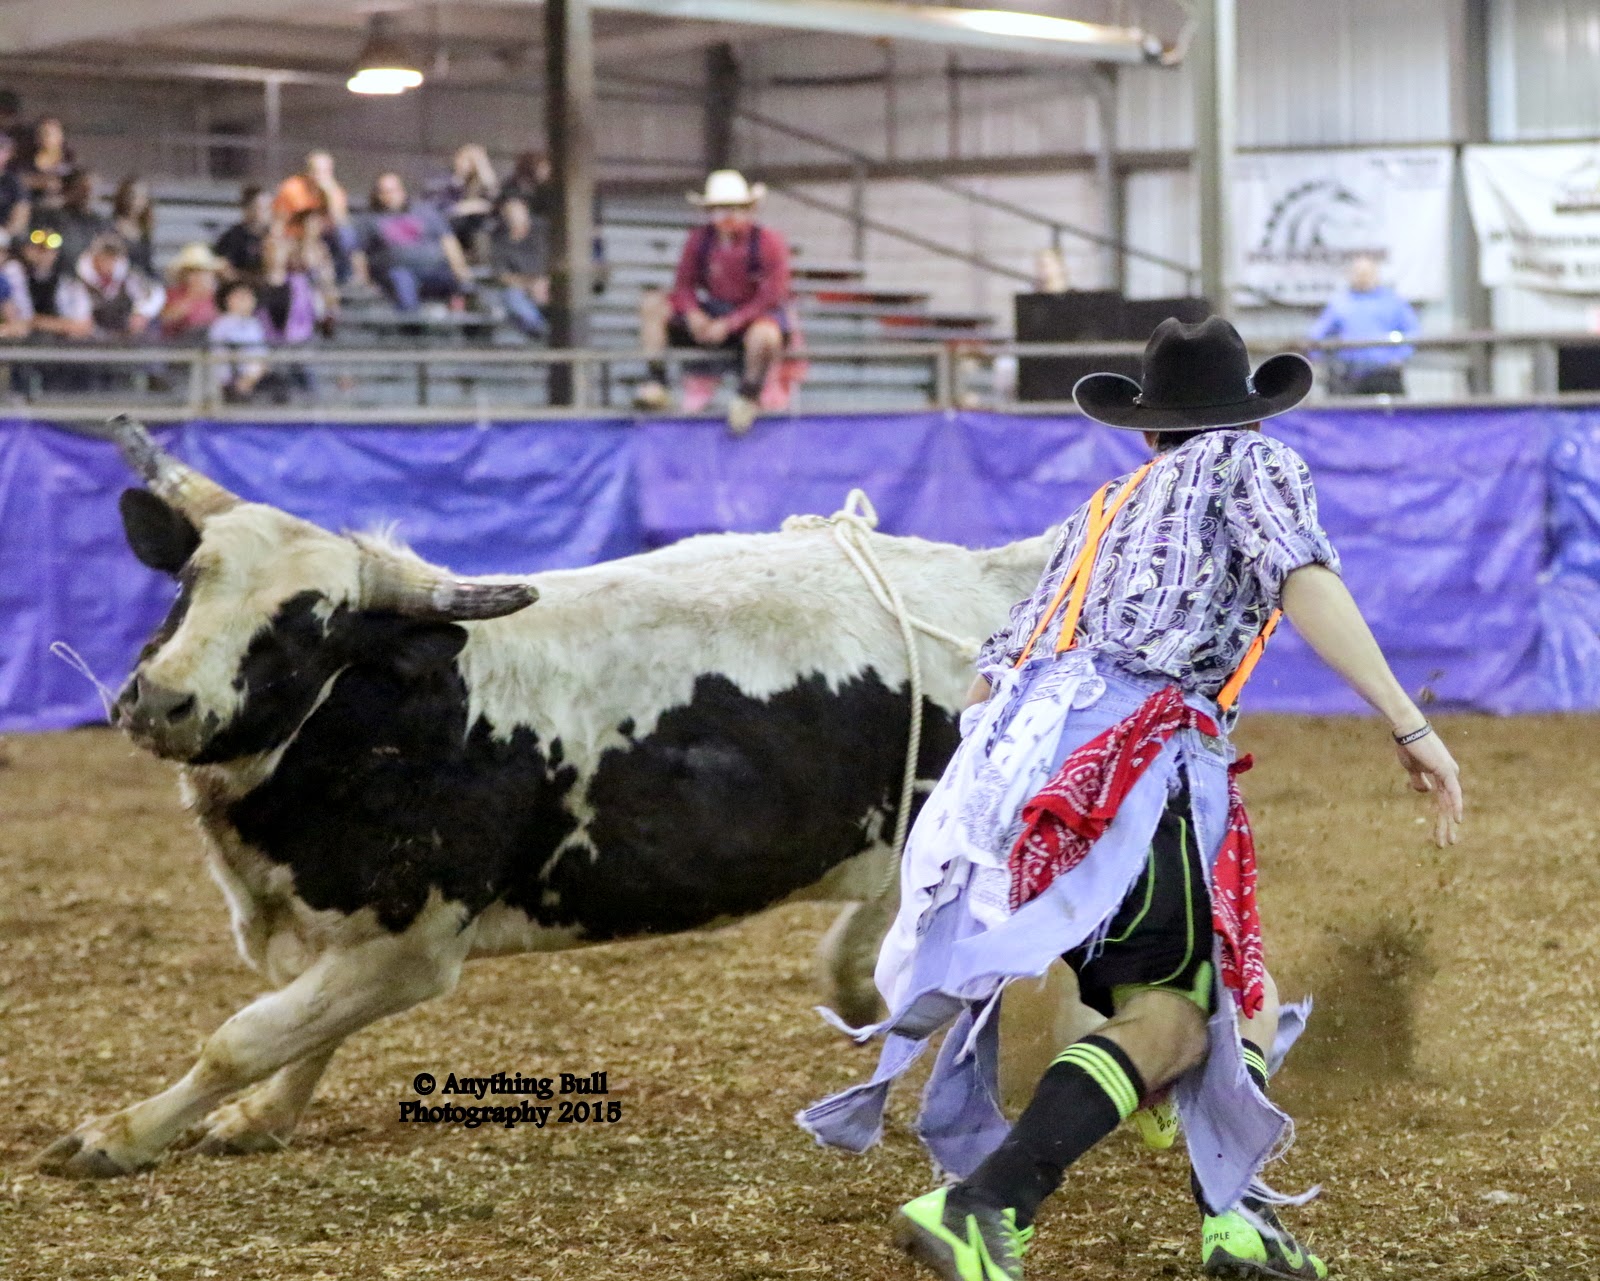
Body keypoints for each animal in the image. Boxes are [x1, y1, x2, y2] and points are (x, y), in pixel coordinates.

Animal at [36, 416, 1053, 1179]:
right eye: (189, 578)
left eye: (309, 622)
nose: (161, 699)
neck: (402, 707)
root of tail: (1006, 575)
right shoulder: (345, 927)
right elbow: (298, 1032)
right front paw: (259, 1118)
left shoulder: (413, 941)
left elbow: (245, 1035)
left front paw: (118, 1137)